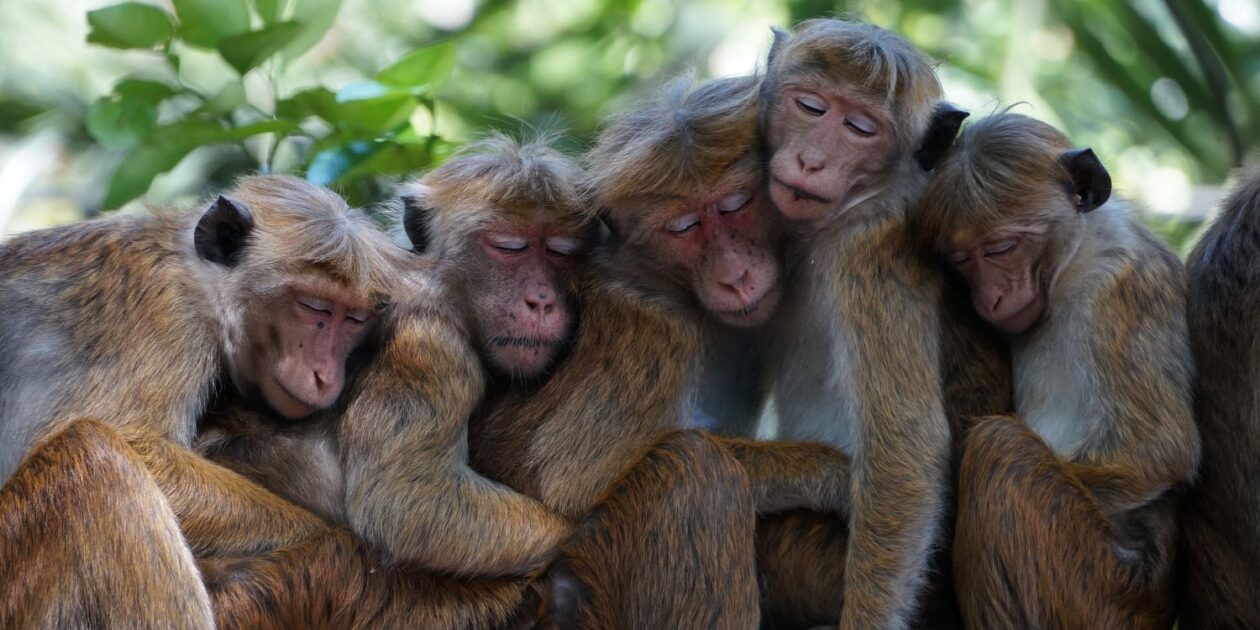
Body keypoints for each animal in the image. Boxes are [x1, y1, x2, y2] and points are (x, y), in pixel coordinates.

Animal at [911, 112, 1199, 628]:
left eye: (1001, 248)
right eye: (961, 259)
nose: (990, 298)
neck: (1072, 262)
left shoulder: (1120, 286)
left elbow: (1159, 451)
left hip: (1099, 593)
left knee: (998, 448)